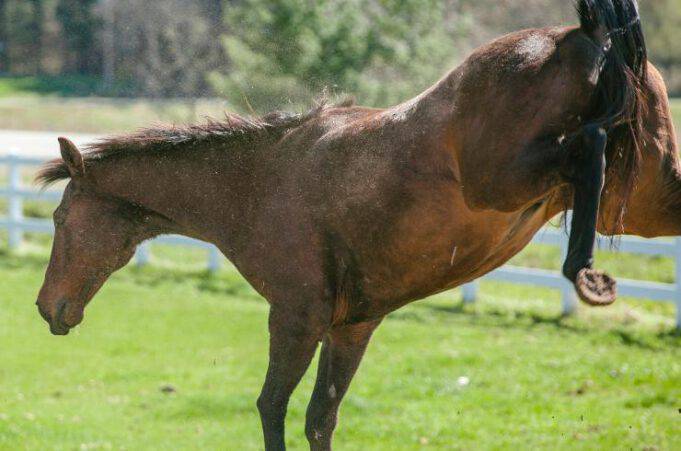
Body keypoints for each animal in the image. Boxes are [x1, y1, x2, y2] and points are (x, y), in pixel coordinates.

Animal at [35, 0, 678, 449]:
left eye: (61, 217)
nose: (47, 308)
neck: (260, 182)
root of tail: (589, 37)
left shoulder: (295, 319)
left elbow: (272, 408)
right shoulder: (351, 327)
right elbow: (320, 419)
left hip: (508, 179)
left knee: (587, 146)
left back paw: (584, 272)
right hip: (651, 197)